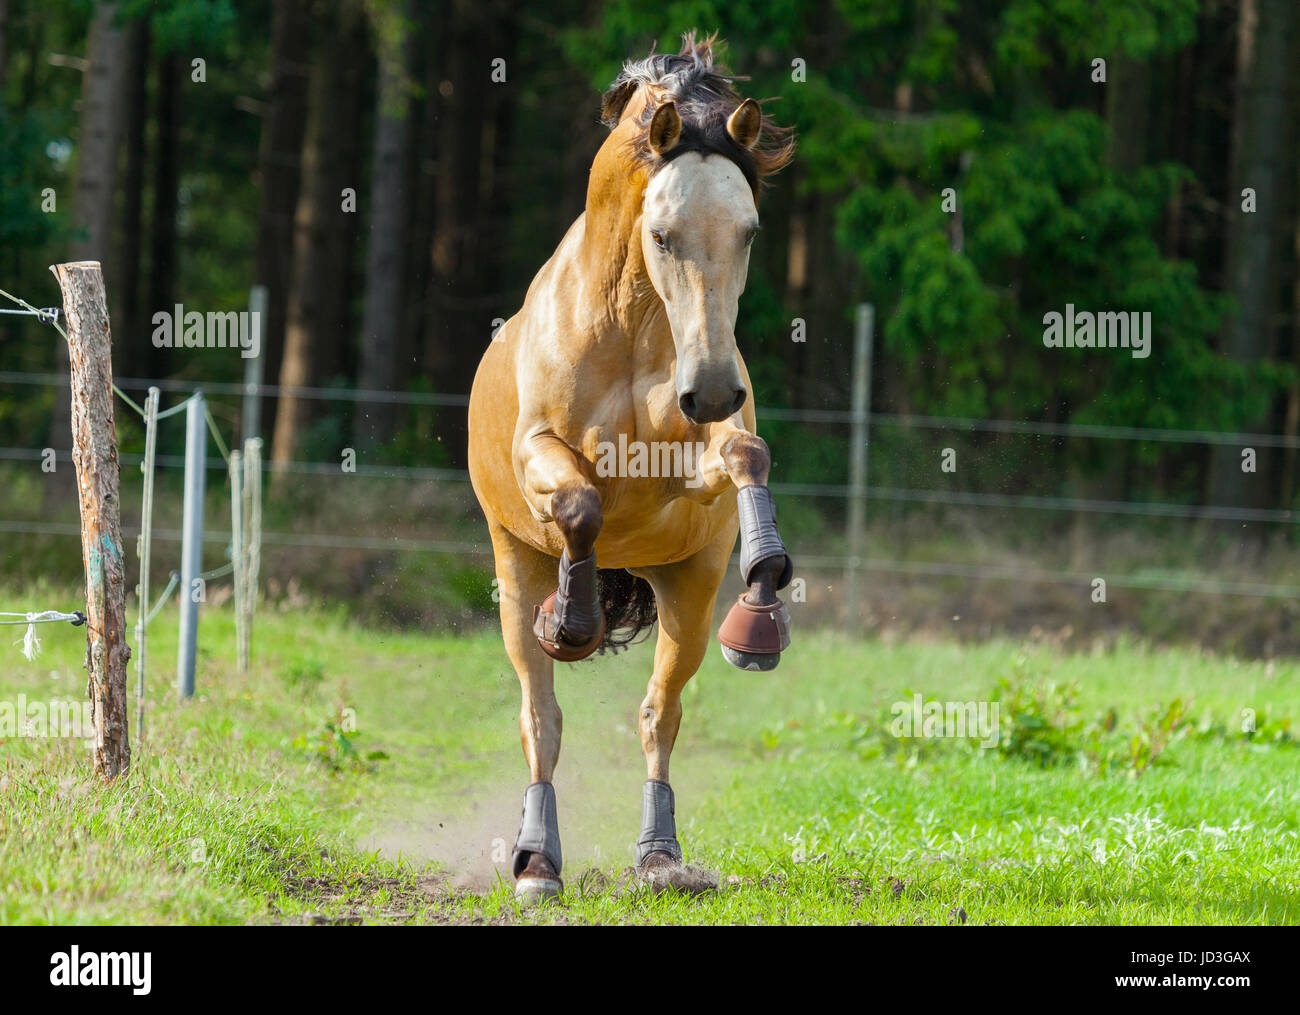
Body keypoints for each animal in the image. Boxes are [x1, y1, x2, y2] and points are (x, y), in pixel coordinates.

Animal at [467, 33, 796, 900]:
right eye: (664, 233)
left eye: (749, 230)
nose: (710, 386)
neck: (630, 317)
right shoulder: (542, 453)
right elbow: (580, 503)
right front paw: (573, 621)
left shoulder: (688, 472)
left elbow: (747, 452)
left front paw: (767, 587)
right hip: (513, 565)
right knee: (540, 719)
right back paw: (537, 860)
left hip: (687, 585)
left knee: (658, 714)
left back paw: (660, 856)